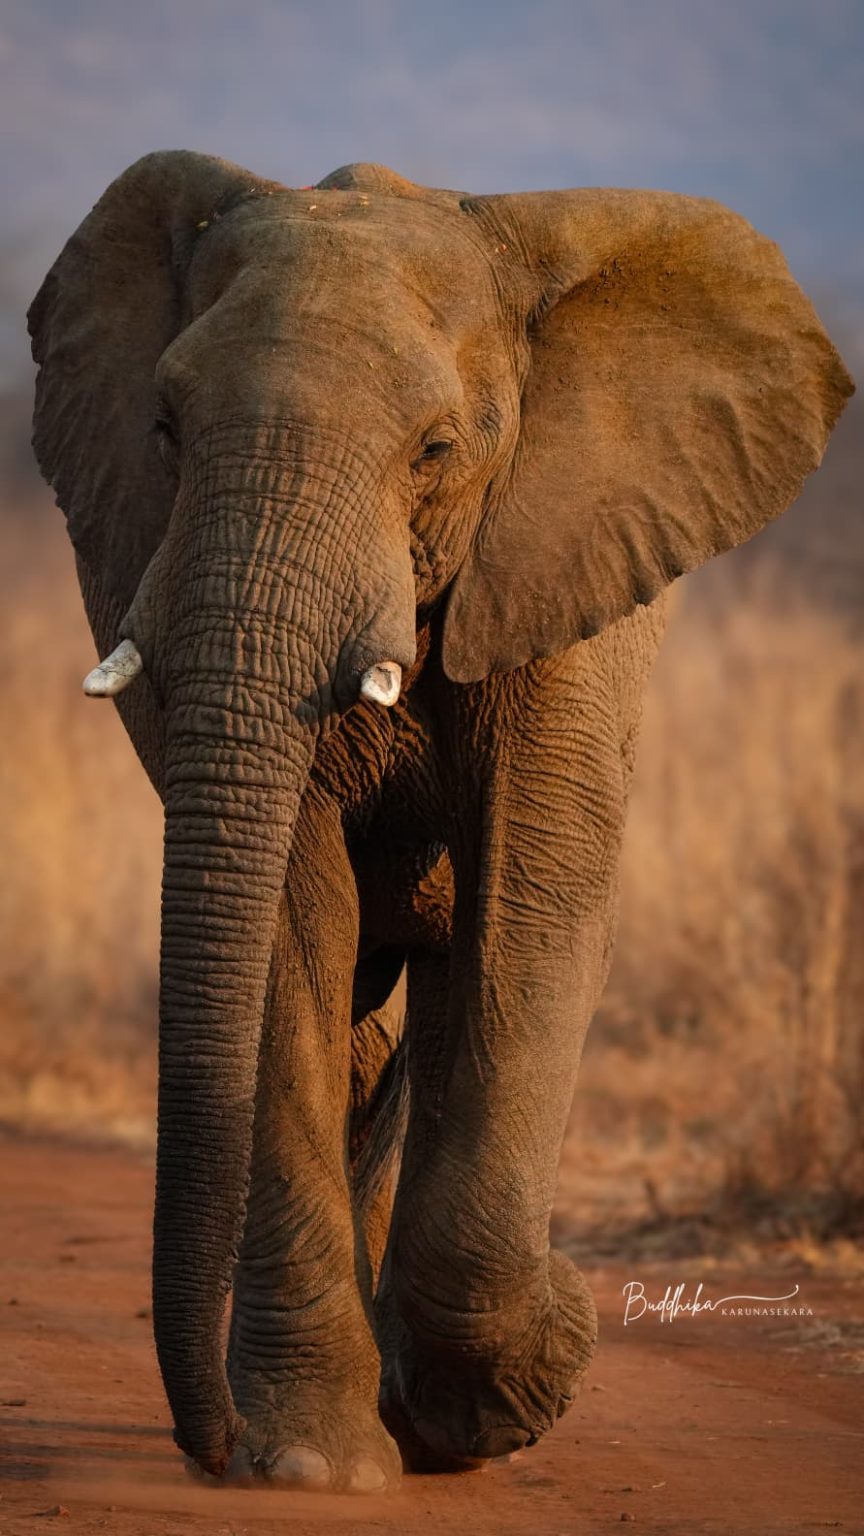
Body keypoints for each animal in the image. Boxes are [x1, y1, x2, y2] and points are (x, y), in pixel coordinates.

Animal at [28, 152, 852, 1493]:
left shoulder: (568, 573)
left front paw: (521, 1381)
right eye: (163, 430)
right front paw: (315, 1464)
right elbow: (292, 913)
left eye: (436, 448)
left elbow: (532, 898)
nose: (209, 1445)